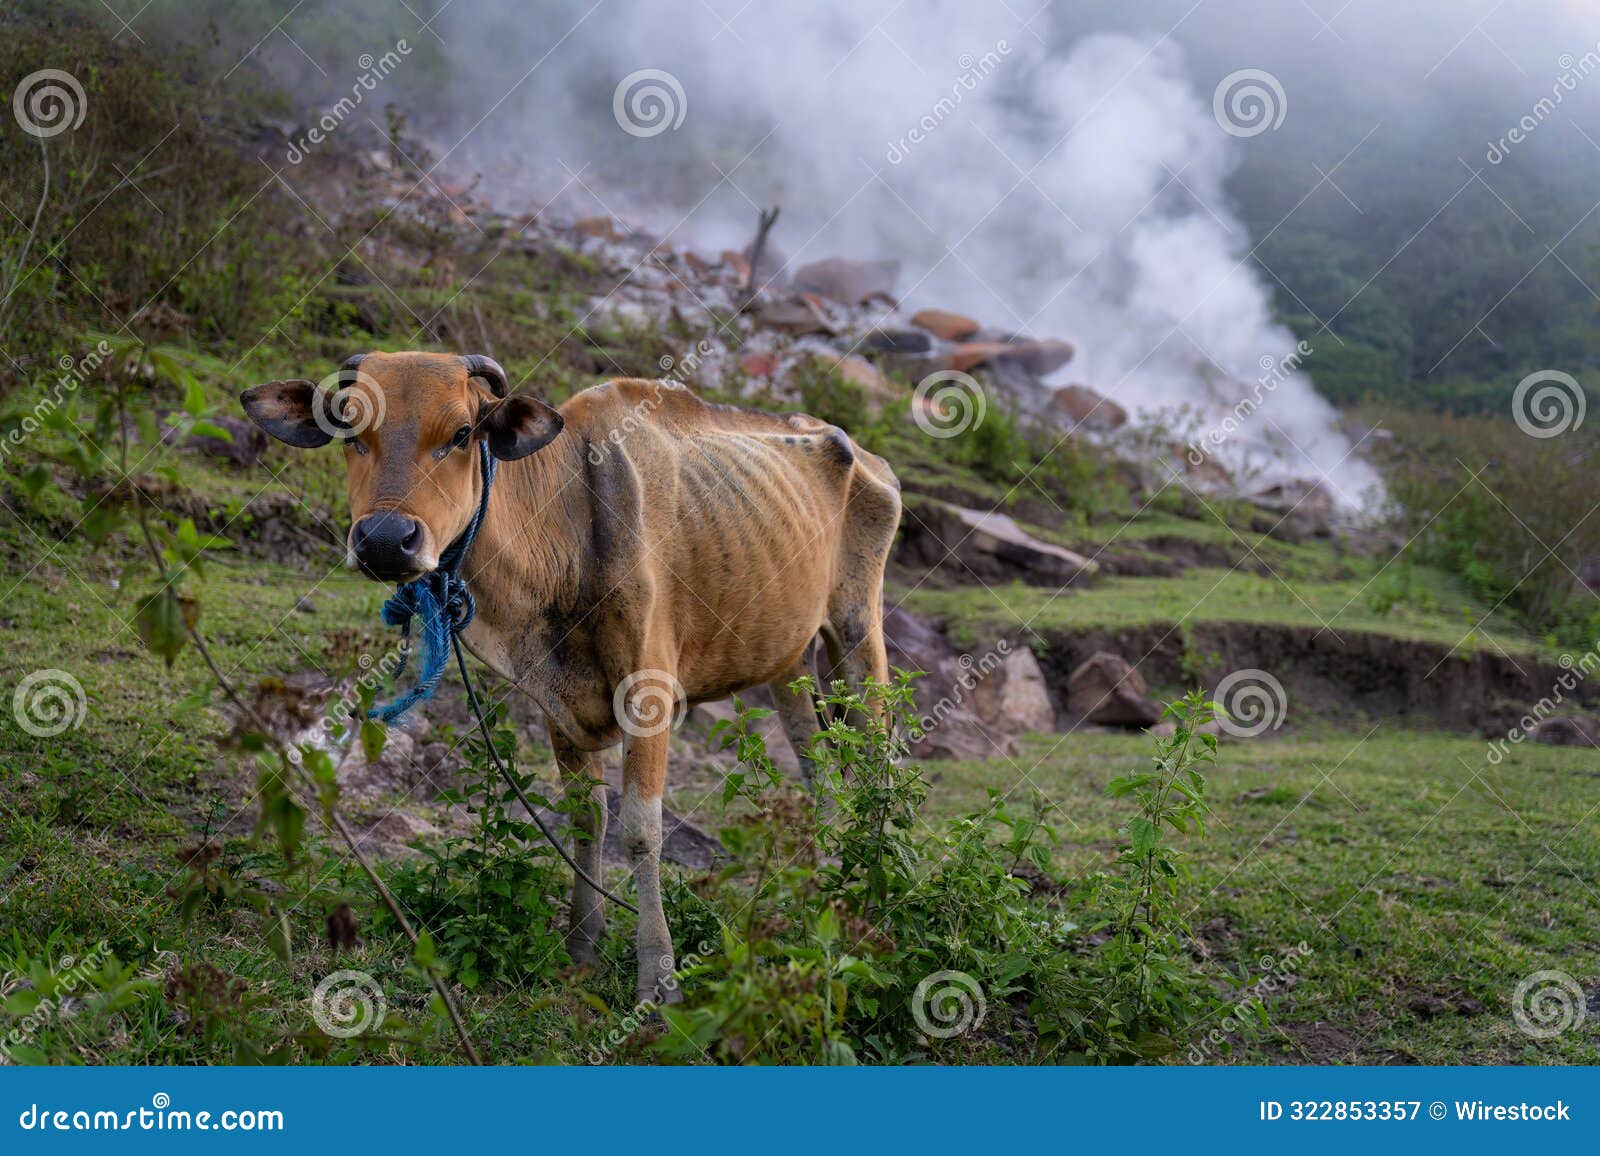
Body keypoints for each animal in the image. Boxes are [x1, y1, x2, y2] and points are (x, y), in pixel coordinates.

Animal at [241, 351, 901, 1002]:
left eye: (462, 433)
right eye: (350, 430)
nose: (384, 541)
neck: (567, 526)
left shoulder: (649, 691)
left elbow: (640, 831)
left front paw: (657, 976)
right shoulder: (557, 702)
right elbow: (588, 817)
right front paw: (582, 945)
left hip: (857, 629)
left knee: (878, 756)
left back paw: (878, 886)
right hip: (790, 663)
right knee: (820, 771)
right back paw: (823, 887)